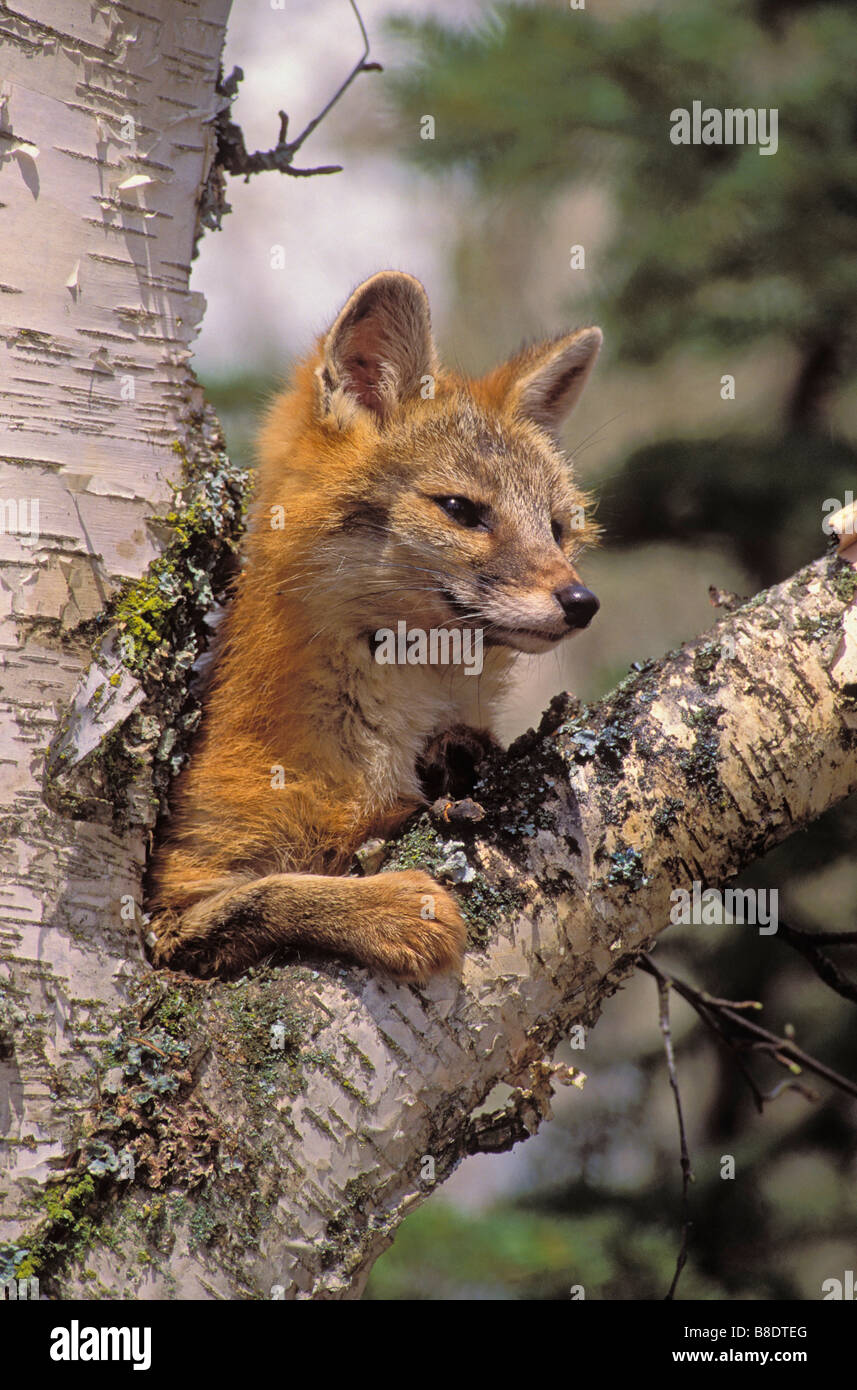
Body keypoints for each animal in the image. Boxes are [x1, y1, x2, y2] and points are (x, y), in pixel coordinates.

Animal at [147, 271, 602, 983]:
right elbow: (271, 893)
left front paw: (457, 756)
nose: (581, 601)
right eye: (460, 509)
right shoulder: (170, 915)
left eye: (556, 529)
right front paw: (391, 907)